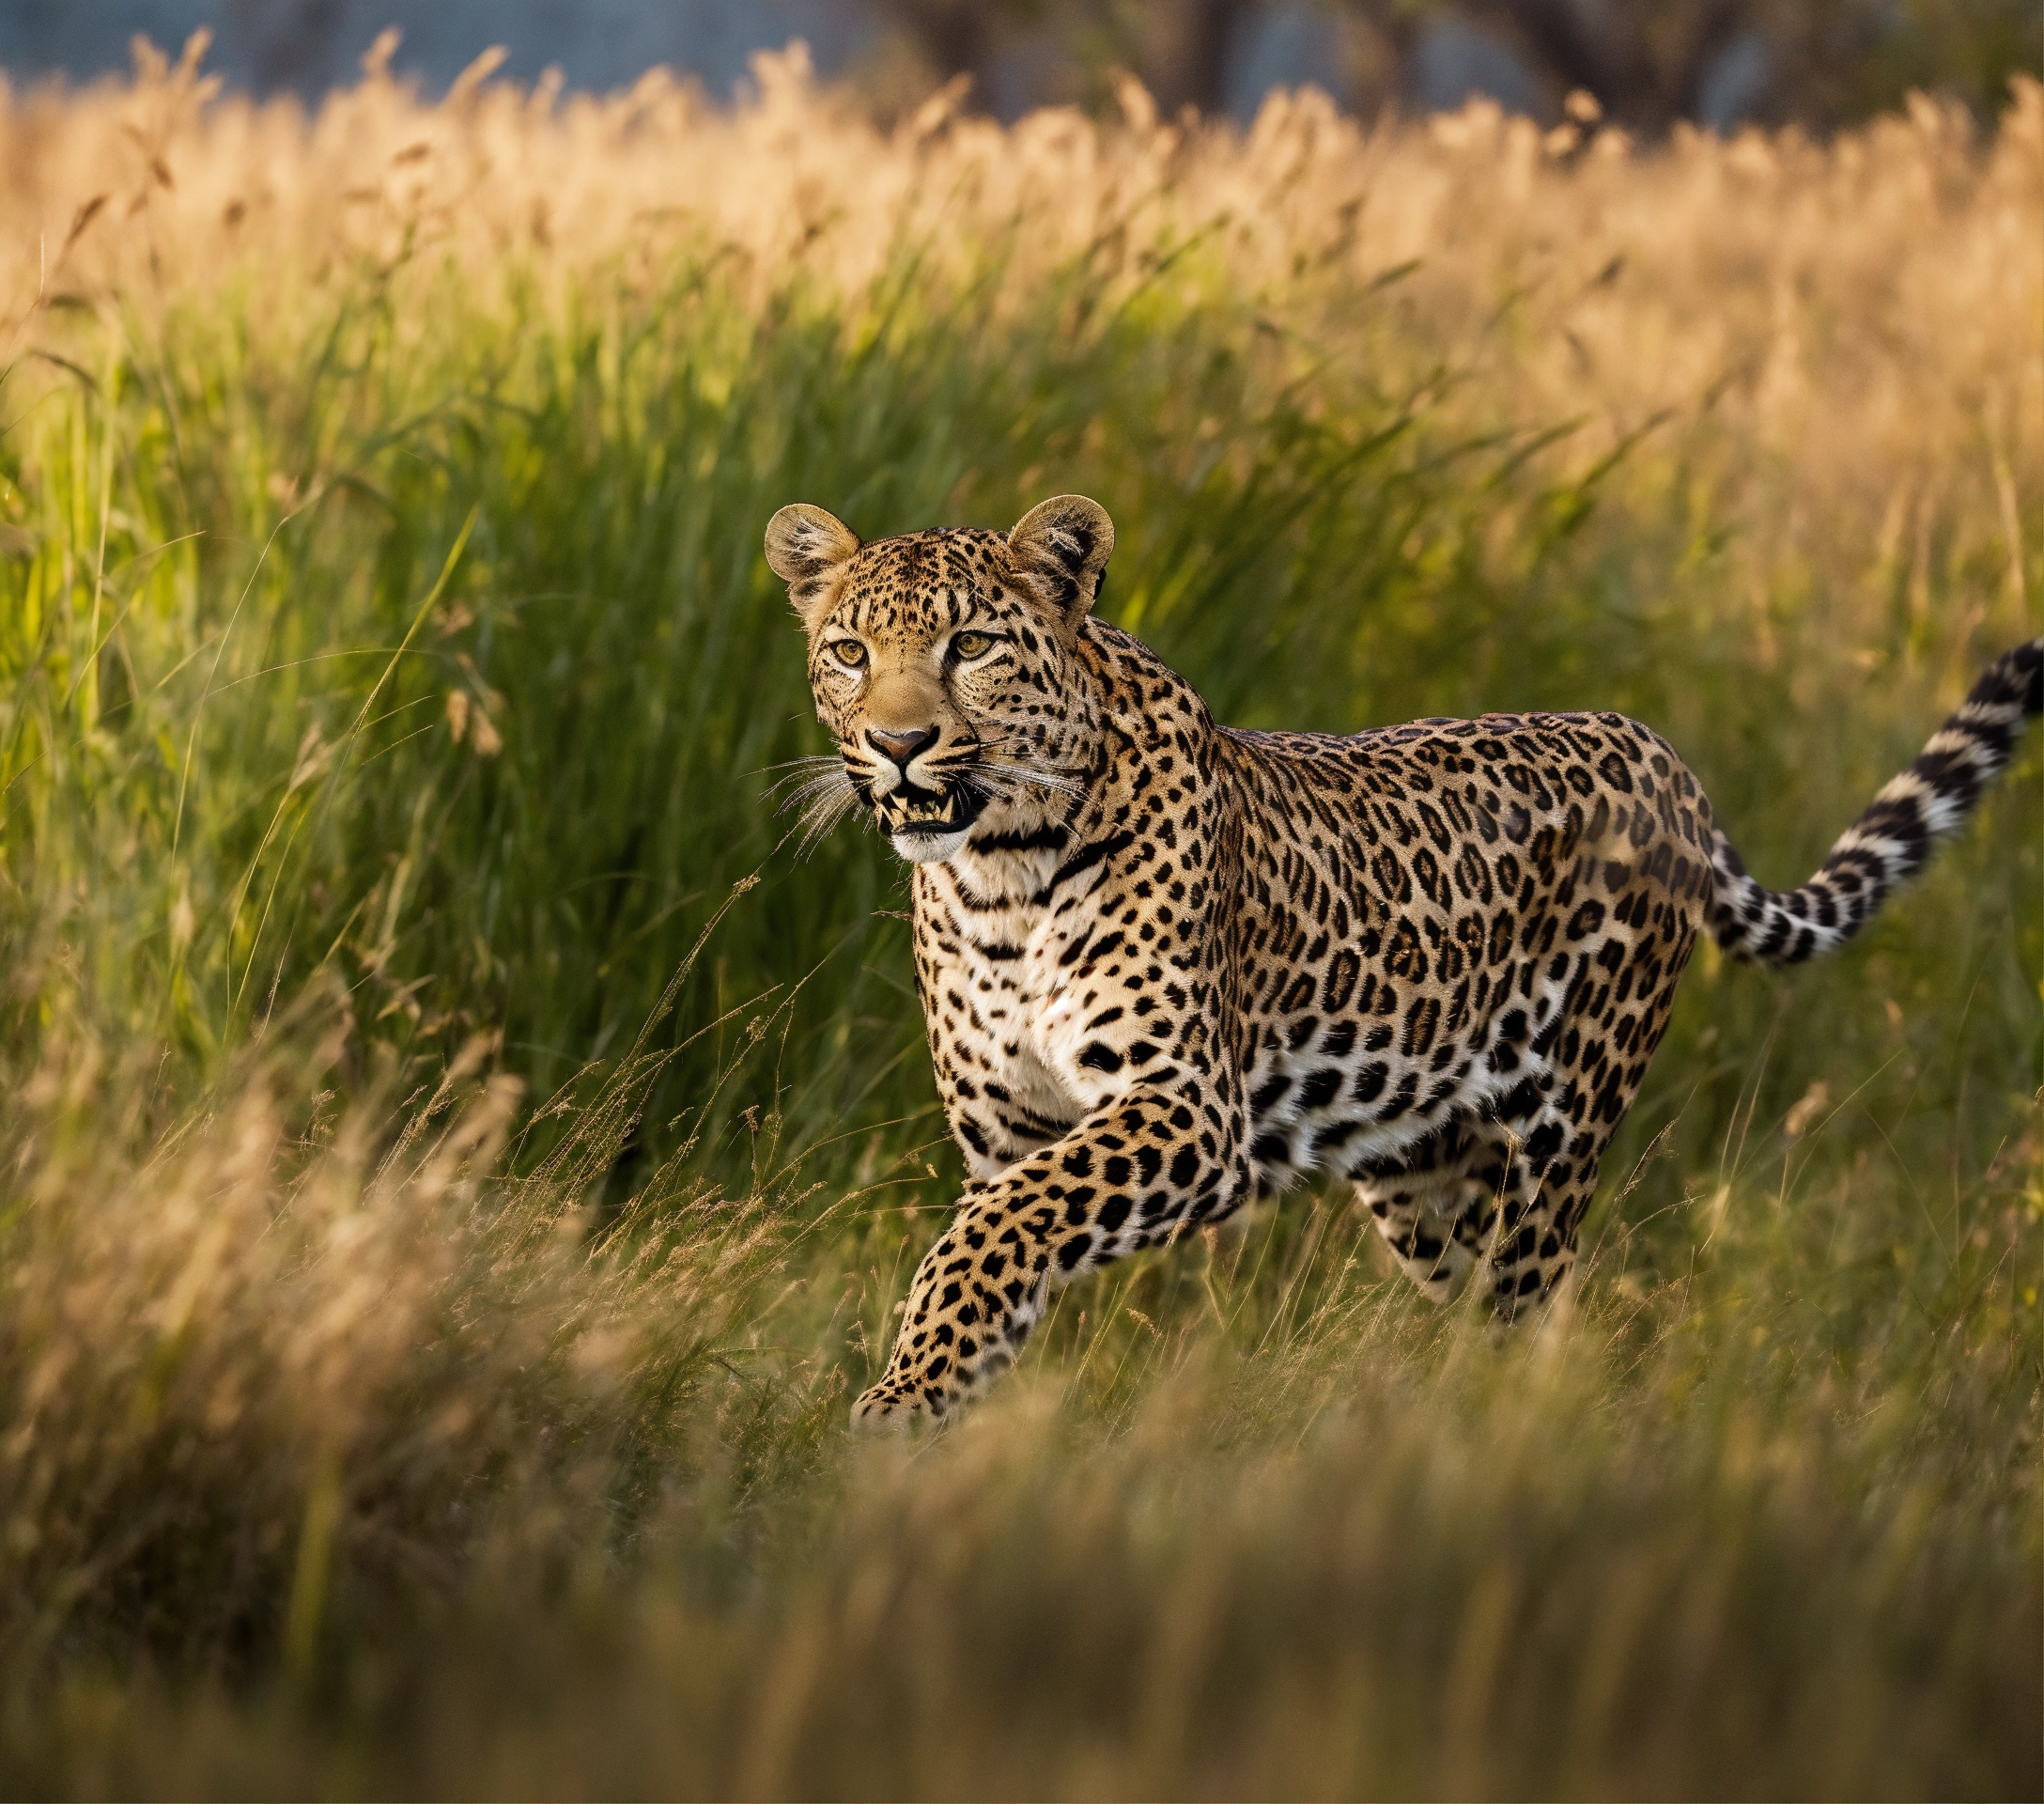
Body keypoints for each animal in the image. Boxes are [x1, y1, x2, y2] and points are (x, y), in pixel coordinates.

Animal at [764, 493, 2042, 1431]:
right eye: (849, 651)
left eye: (971, 645)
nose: (899, 742)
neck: (1001, 875)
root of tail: (1657, 754)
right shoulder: (1005, 1133)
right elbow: (998, 1247)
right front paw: (949, 1414)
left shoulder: (1188, 1111)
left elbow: (985, 1237)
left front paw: (899, 1404)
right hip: (1424, 1171)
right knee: (1494, 1304)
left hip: (1559, 1125)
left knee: (1534, 1305)